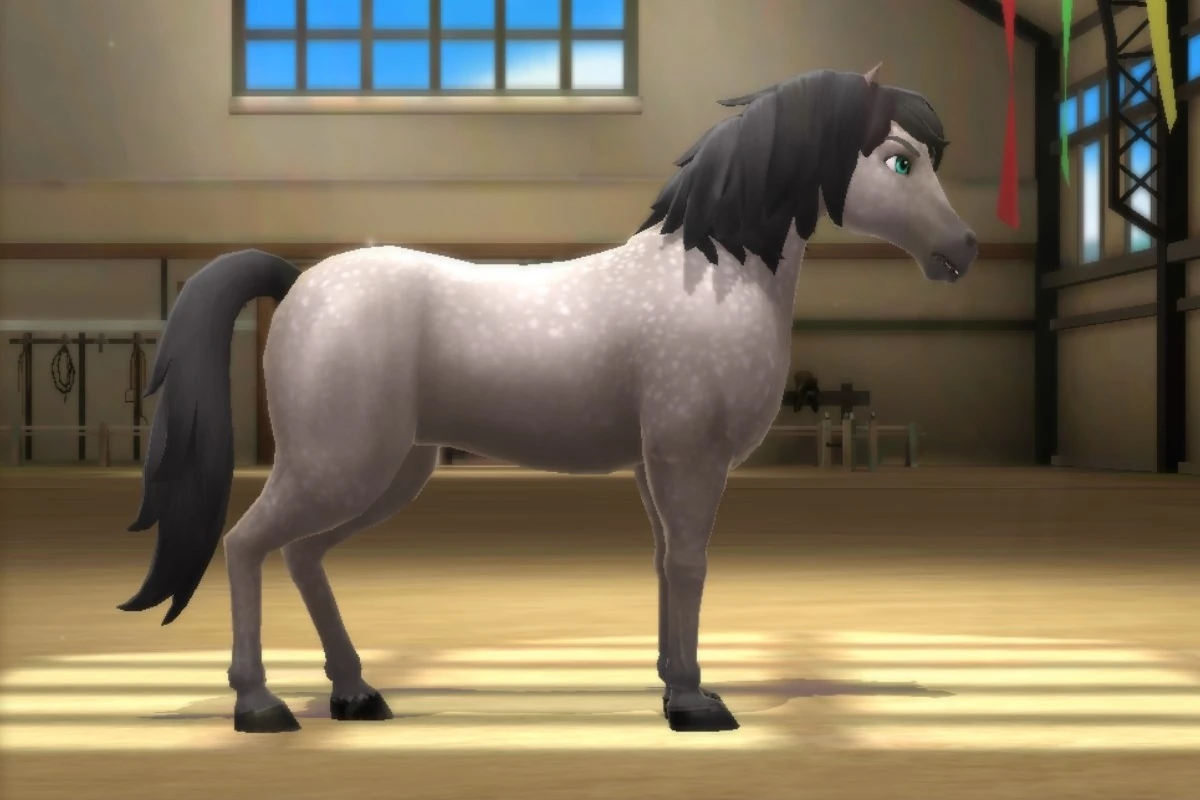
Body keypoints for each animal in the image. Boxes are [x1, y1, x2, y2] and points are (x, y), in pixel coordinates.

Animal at [119, 65, 978, 735]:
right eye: (900, 162)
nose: (963, 249)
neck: (715, 275)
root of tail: (300, 283)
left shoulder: (655, 466)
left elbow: (666, 562)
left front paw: (672, 682)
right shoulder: (689, 460)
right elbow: (691, 562)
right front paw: (696, 704)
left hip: (389, 472)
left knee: (301, 555)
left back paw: (356, 692)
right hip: (339, 465)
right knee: (246, 546)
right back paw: (260, 705)